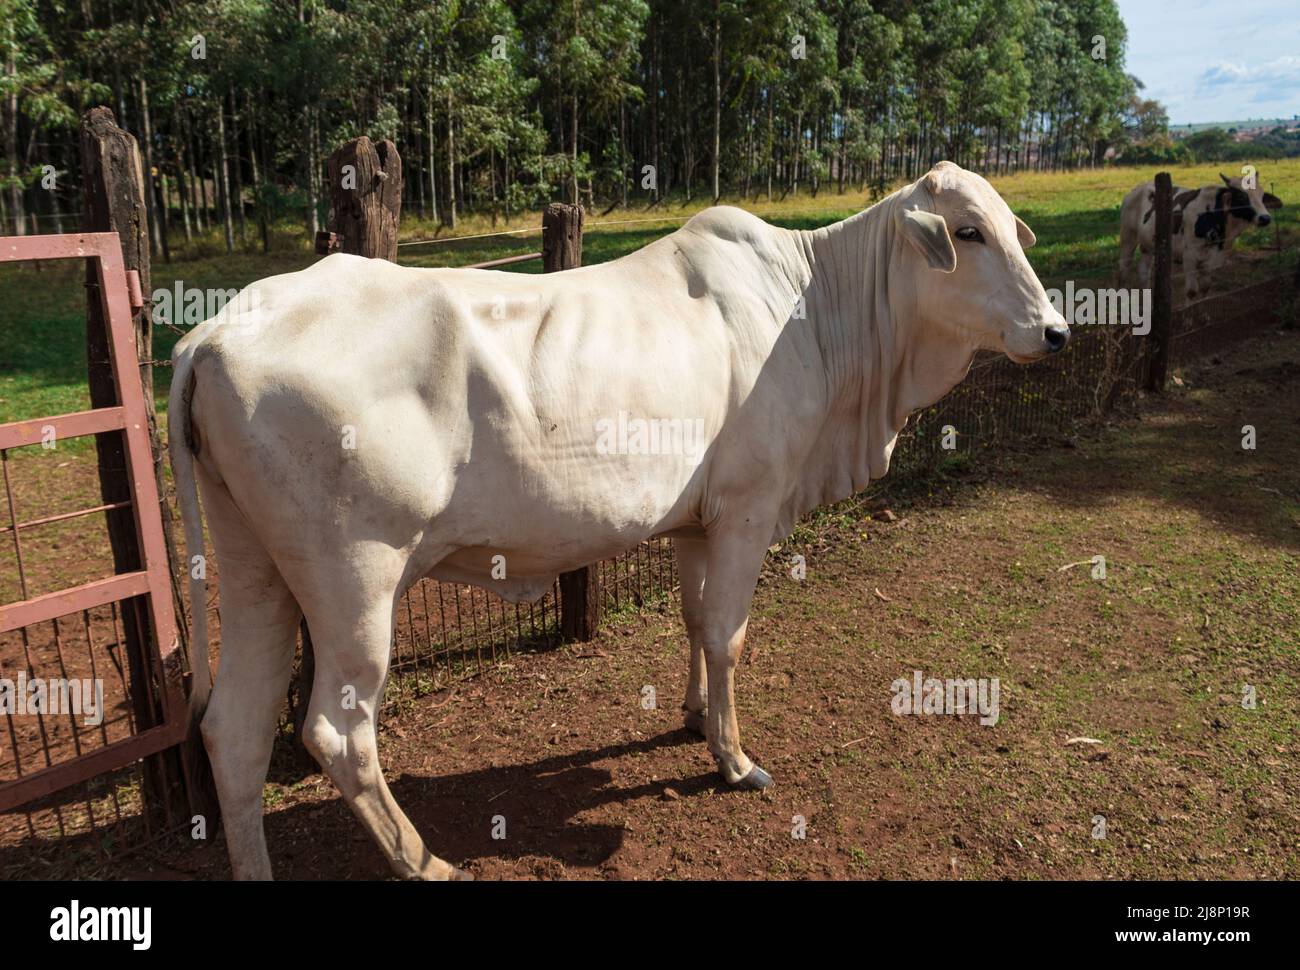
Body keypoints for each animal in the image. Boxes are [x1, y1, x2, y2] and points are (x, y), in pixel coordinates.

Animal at [169, 160, 1069, 880]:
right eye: (968, 232)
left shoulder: (698, 522)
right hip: (355, 576)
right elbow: (729, 633)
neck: (821, 312)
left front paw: (697, 718)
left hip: (256, 571)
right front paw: (734, 760)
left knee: (235, 731)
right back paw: (427, 862)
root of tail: (213, 332)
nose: (1057, 331)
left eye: (1010, 229)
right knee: (336, 732)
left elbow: (696, 621)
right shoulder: (747, 510)